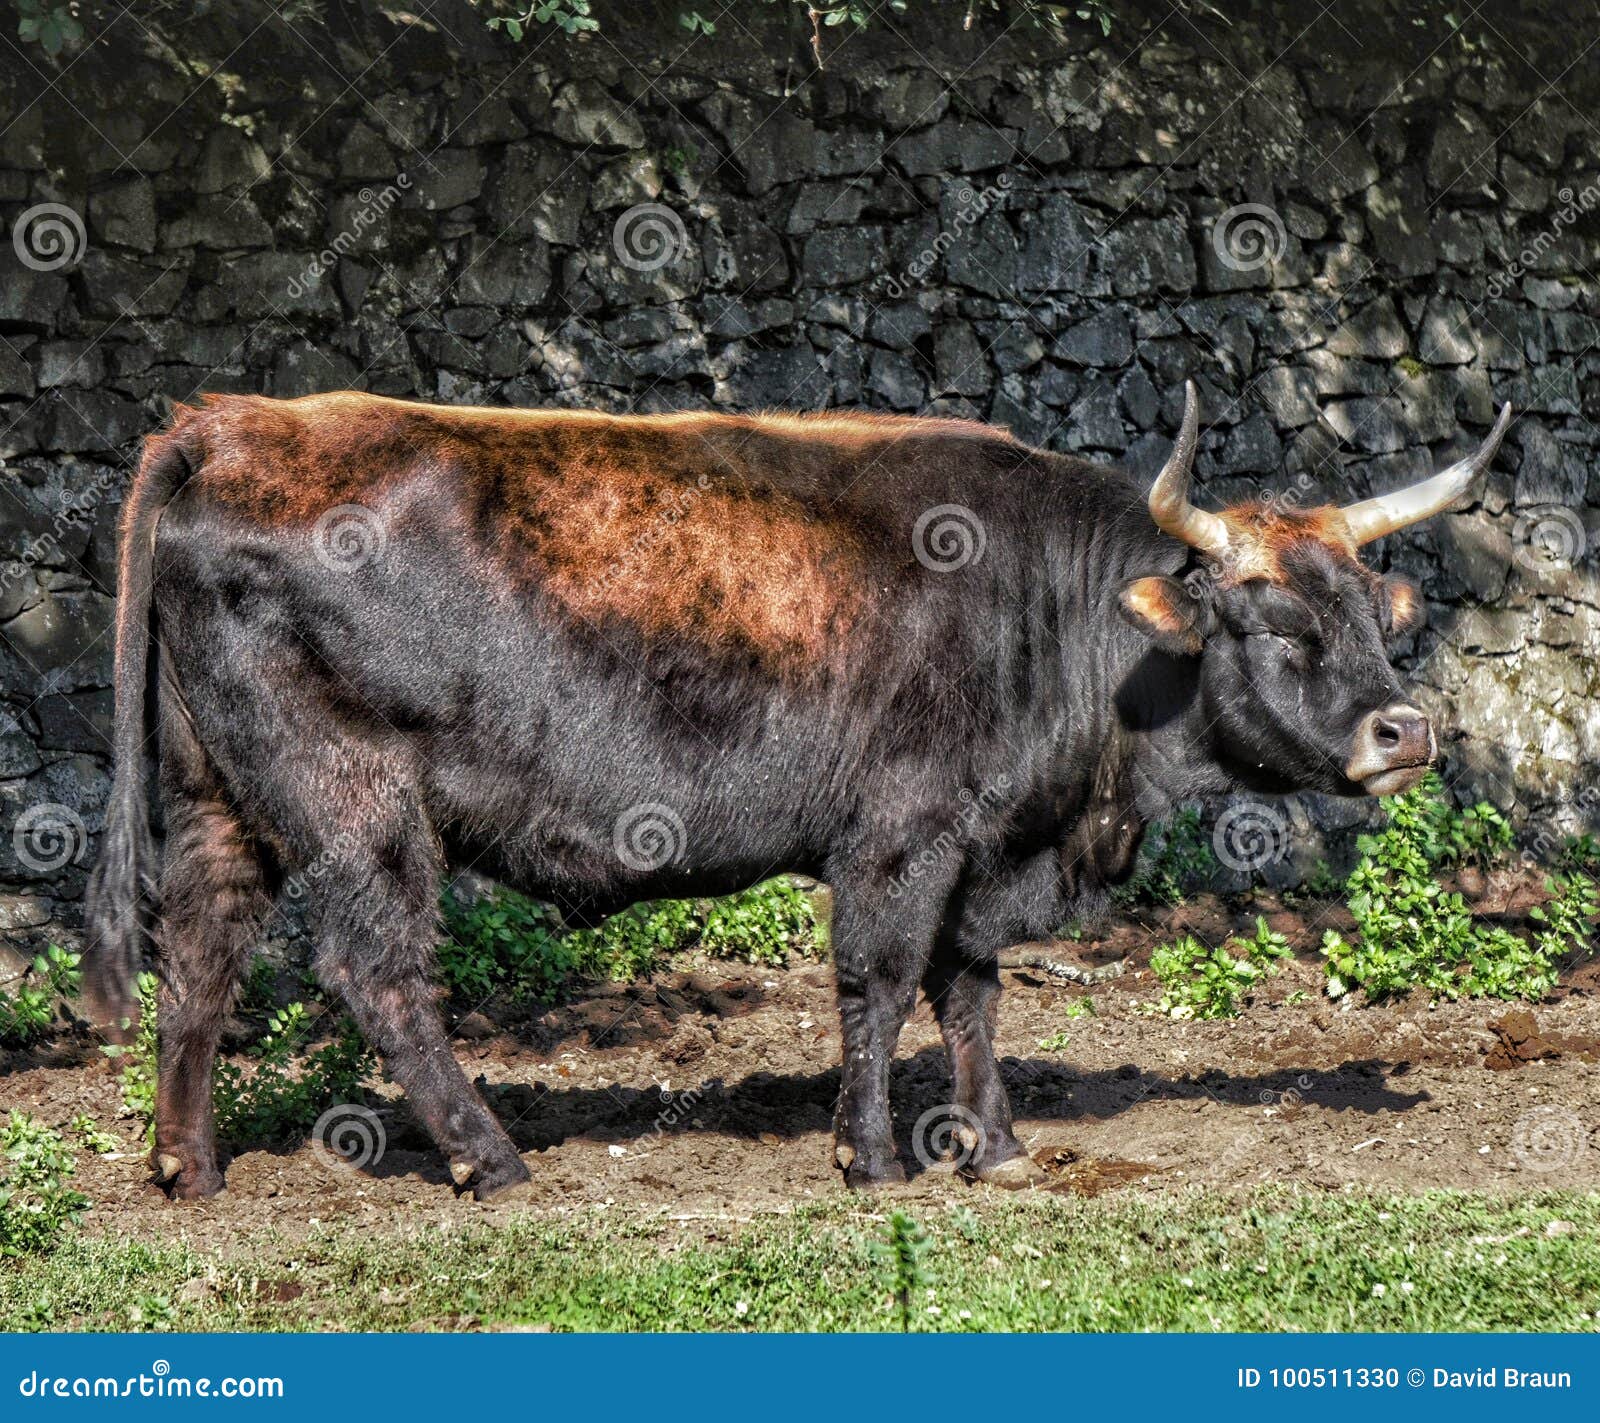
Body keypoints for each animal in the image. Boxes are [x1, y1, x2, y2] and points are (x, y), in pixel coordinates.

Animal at [81, 381, 1511, 1200]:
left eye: (1376, 614)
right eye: (1275, 625)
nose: (1406, 729)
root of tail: (232, 423)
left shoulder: (978, 844)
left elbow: (968, 990)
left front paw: (993, 1144)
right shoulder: (903, 831)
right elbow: (880, 982)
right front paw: (867, 1155)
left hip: (220, 797)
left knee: (201, 956)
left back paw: (187, 1165)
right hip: (353, 795)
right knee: (376, 972)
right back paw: (492, 1159)